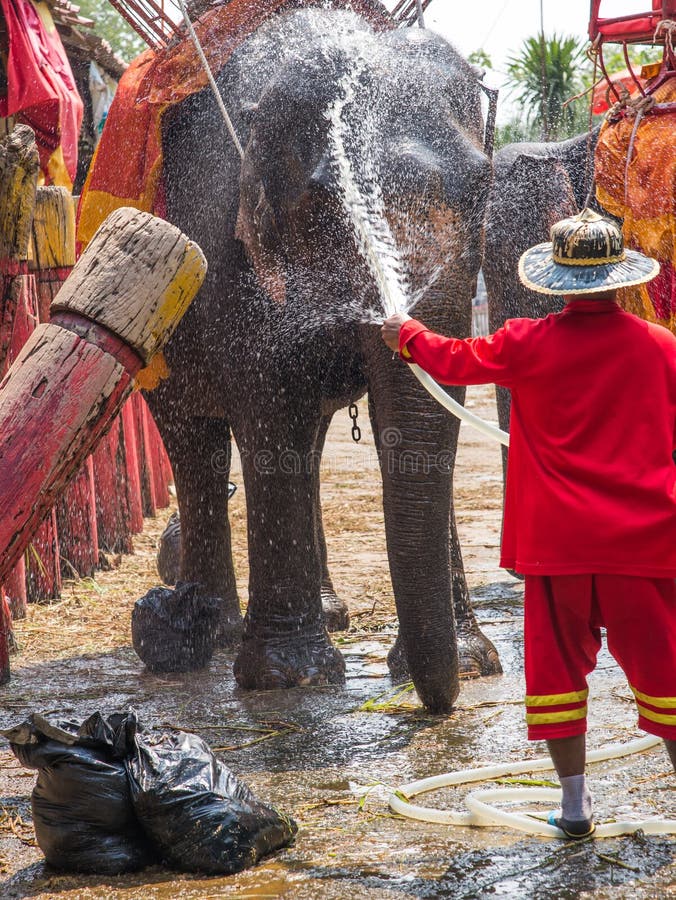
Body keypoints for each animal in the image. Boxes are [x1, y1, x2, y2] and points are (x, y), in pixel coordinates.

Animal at [145, 6, 501, 714]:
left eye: (483, 187)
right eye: (324, 201)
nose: (438, 708)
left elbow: (407, 428)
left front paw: (472, 663)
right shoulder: (227, 252)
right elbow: (269, 414)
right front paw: (289, 680)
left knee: (309, 444)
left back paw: (328, 613)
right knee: (196, 444)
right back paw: (209, 631)